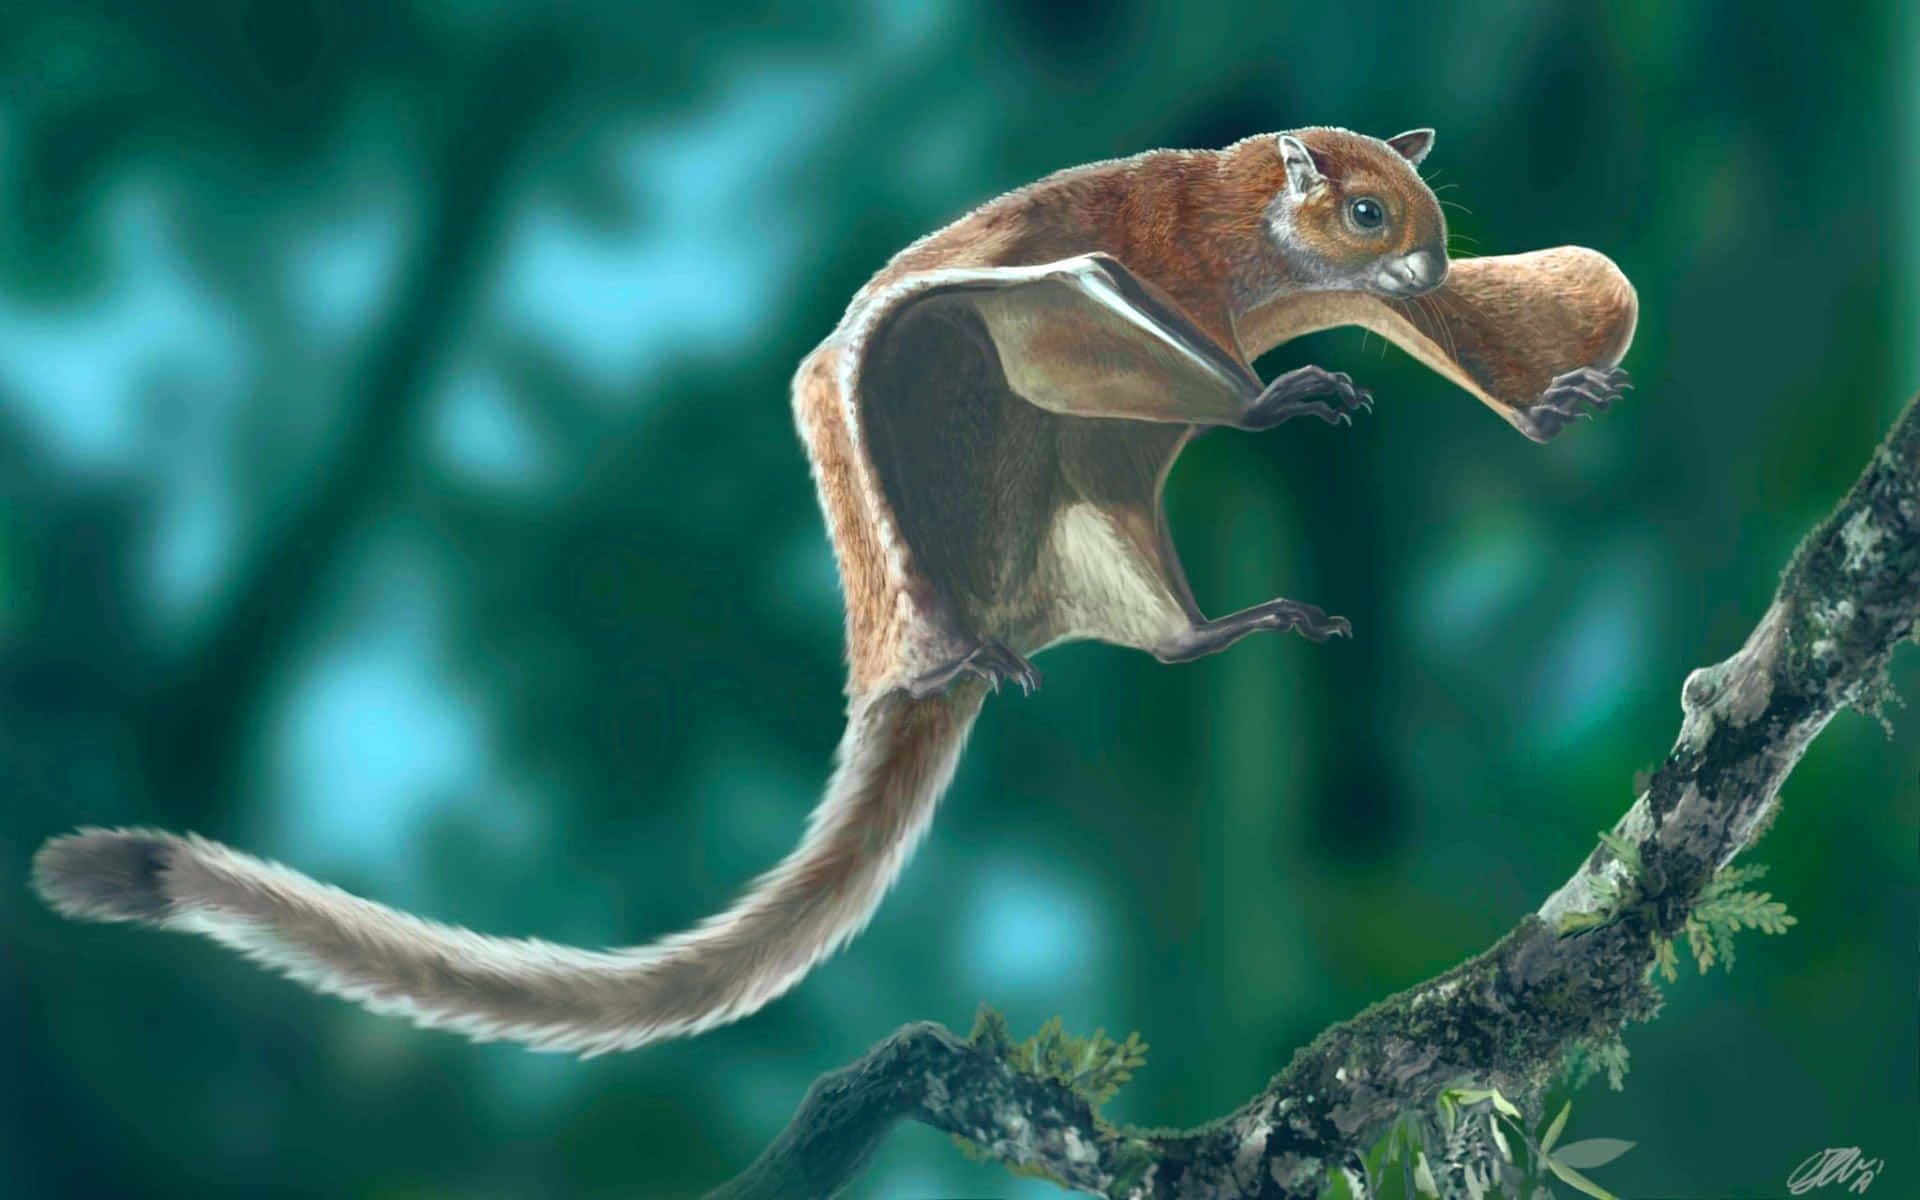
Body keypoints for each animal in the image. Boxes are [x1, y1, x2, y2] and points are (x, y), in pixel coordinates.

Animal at [34, 127, 1637, 1055]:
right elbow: (1139, 327)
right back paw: (984, 651)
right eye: (1368, 209)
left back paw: (1212, 623)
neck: (1241, 243)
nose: (1424, 259)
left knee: (1169, 633)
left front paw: (1541, 399)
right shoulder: (1134, 273)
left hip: (1103, 516)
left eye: (1423, 213)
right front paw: (1273, 400)